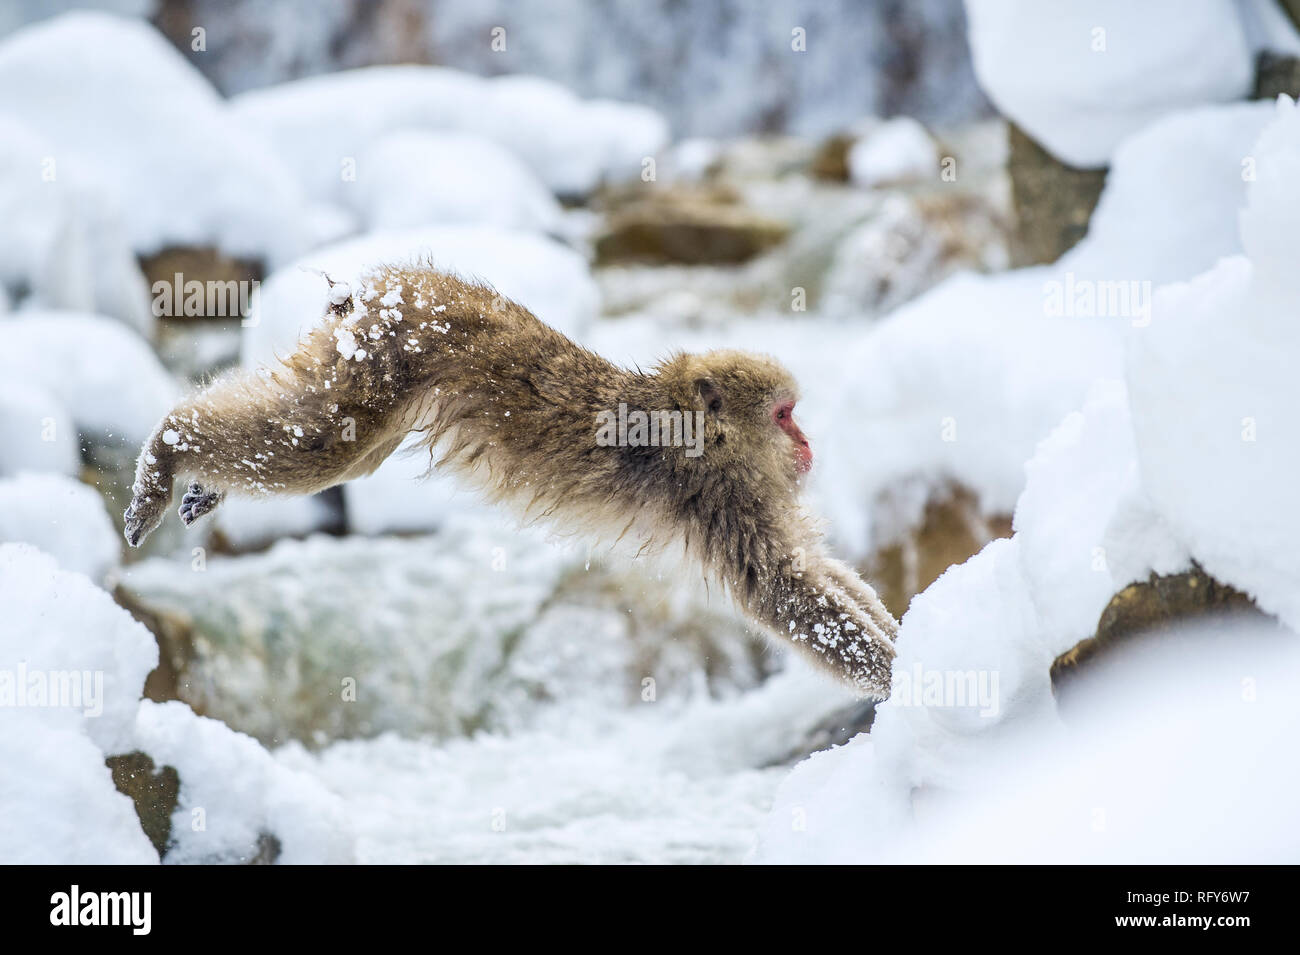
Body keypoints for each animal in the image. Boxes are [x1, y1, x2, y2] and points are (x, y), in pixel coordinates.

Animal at [123, 265, 900, 696]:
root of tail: (381, 288)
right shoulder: (721, 499)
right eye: (784, 413)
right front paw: (900, 680)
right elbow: (784, 591)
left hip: (362, 368)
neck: (689, 431)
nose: (806, 441)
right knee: (313, 445)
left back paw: (200, 480)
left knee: (325, 443)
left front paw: (905, 636)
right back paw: (167, 448)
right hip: (375, 365)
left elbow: (821, 572)